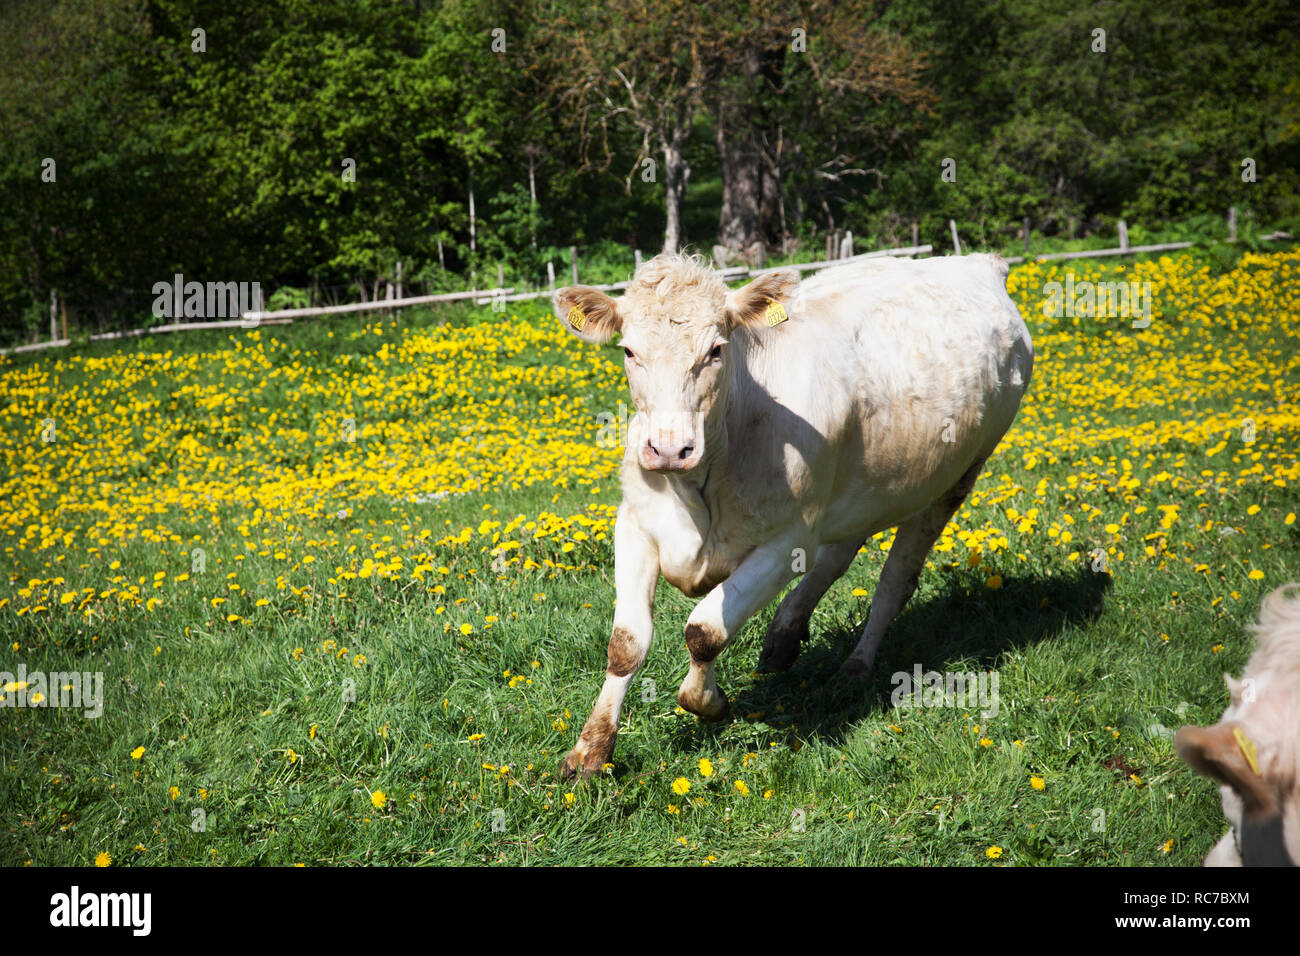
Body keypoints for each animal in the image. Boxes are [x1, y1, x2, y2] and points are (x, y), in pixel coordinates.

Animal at [552, 251, 1034, 778]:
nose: (669, 449)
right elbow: (627, 644)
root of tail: (978, 262)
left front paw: (711, 702)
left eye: (716, 350)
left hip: (958, 476)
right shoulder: (635, 525)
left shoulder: (788, 540)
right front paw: (590, 751)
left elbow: (704, 631)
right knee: (839, 554)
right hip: (861, 486)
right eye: (628, 351)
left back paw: (855, 667)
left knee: (894, 580)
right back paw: (783, 638)